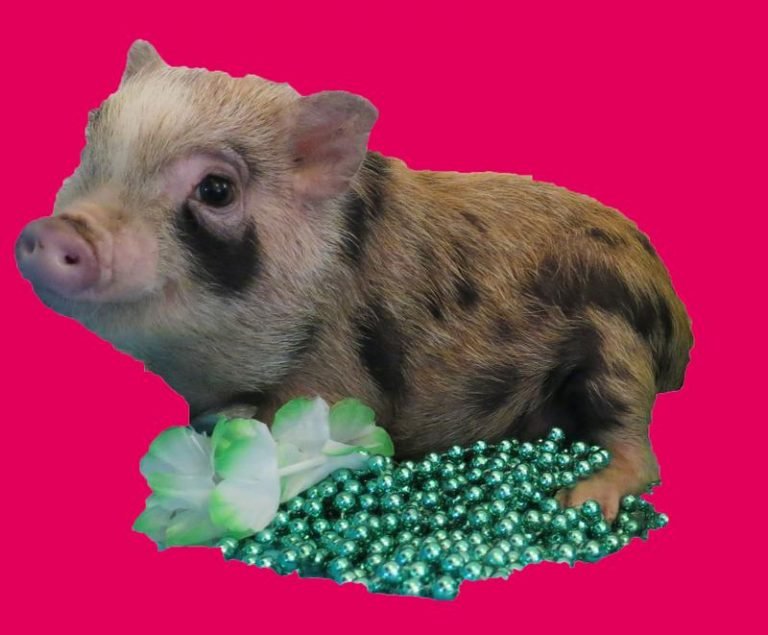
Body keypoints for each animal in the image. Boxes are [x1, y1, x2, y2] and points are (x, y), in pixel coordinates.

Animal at [15, 41, 692, 520]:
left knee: (635, 440)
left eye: (216, 190)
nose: (56, 231)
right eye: (90, 148)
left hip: (615, 343)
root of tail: (673, 317)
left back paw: (583, 499)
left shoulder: (334, 370)